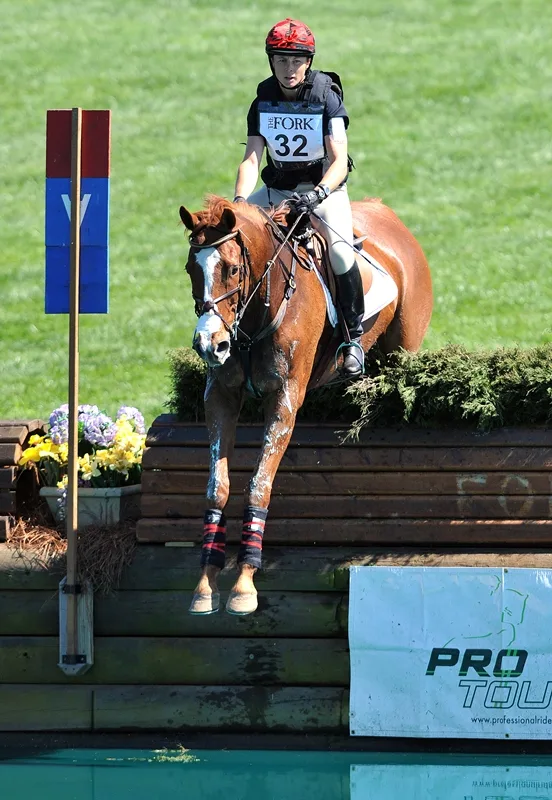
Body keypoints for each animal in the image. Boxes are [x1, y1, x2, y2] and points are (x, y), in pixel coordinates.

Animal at [179, 195, 432, 615]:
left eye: (232, 269)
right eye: (190, 269)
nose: (208, 344)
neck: (256, 314)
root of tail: (386, 214)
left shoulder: (285, 399)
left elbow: (258, 485)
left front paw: (244, 586)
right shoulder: (220, 397)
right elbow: (217, 486)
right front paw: (204, 583)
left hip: (403, 347)